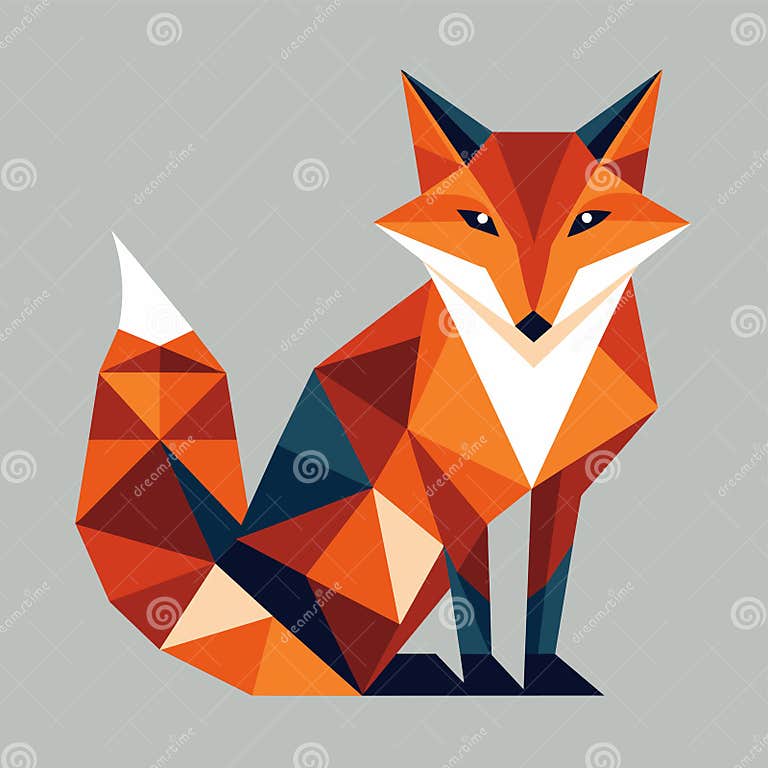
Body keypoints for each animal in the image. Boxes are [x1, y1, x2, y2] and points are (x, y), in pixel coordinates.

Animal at [77, 70, 688, 696]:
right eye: (479, 222)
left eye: (587, 221)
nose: (534, 321)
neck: (531, 381)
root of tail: (226, 566)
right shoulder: (450, 488)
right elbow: (475, 606)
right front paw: (488, 680)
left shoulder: (567, 482)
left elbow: (546, 597)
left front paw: (542, 678)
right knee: (342, 667)